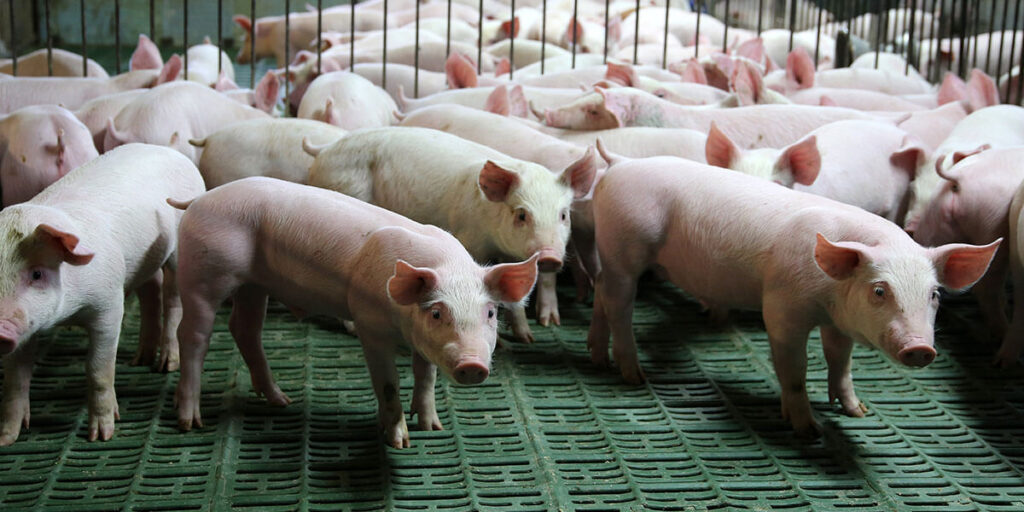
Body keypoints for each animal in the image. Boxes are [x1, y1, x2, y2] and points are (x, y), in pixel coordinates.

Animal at [0, 143, 206, 445]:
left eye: (37, 274)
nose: (1, 330)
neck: (67, 314)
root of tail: (167, 150)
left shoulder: (108, 304)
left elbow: (98, 369)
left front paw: (102, 436)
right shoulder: (27, 328)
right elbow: (15, 378)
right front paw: (7, 438)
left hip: (179, 248)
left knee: (173, 300)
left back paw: (165, 365)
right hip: (141, 262)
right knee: (151, 292)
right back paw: (140, 360)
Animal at [172, 177, 538, 448]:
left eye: (490, 313)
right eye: (436, 313)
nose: (473, 365)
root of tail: (199, 200)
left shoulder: (423, 343)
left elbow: (426, 375)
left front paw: (432, 427)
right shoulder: (368, 324)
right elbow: (387, 382)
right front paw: (399, 441)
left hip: (253, 284)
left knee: (245, 328)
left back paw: (281, 400)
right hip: (204, 272)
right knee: (193, 335)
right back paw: (190, 422)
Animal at [305, 126, 597, 343]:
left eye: (563, 215)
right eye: (522, 214)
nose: (549, 257)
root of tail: (324, 150)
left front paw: (533, 334)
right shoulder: (470, 239)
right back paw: (354, 330)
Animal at [587, 151, 1000, 436]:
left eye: (934, 295)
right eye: (880, 290)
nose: (921, 348)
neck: (827, 298)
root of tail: (620, 162)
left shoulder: (837, 321)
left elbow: (840, 361)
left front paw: (858, 411)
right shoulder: (782, 307)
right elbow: (795, 368)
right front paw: (808, 430)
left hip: (610, 252)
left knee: (601, 293)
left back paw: (599, 358)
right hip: (626, 245)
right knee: (620, 304)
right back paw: (634, 376)